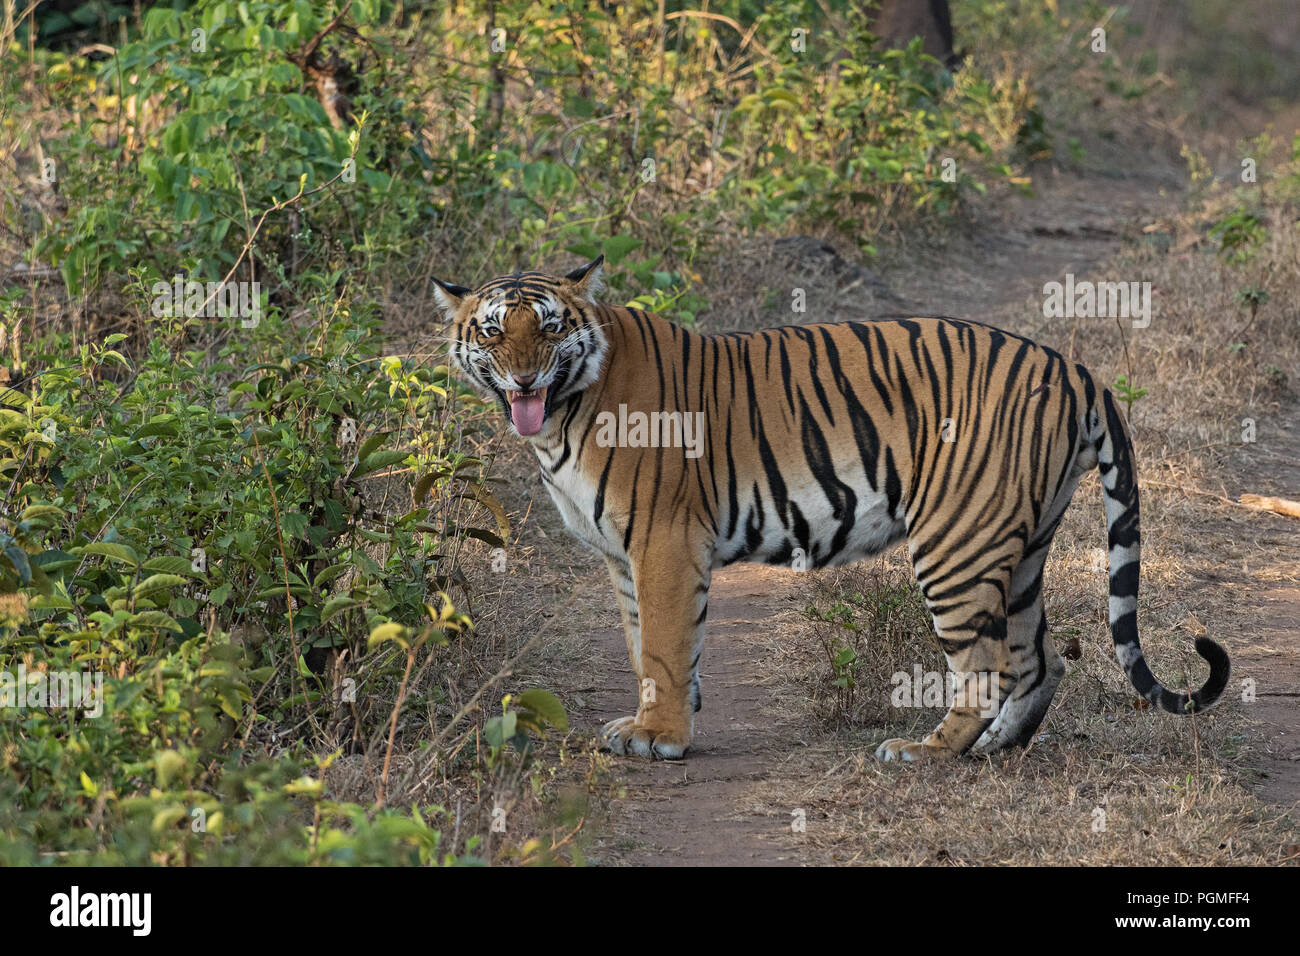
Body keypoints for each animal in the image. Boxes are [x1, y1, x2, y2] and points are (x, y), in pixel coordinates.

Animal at [436, 255, 1230, 761]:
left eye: (547, 327)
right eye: (492, 329)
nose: (524, 378)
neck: (564, 412)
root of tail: (1073, 367)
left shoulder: (662, 540)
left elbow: (662, 641)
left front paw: (658, 736)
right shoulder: (622, 554)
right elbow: (644, 645)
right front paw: (655, 719)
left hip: (956, 540)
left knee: (988, 665)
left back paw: (926, 750)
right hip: (1025, 542)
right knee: (1040, 660)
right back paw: (993, 749)